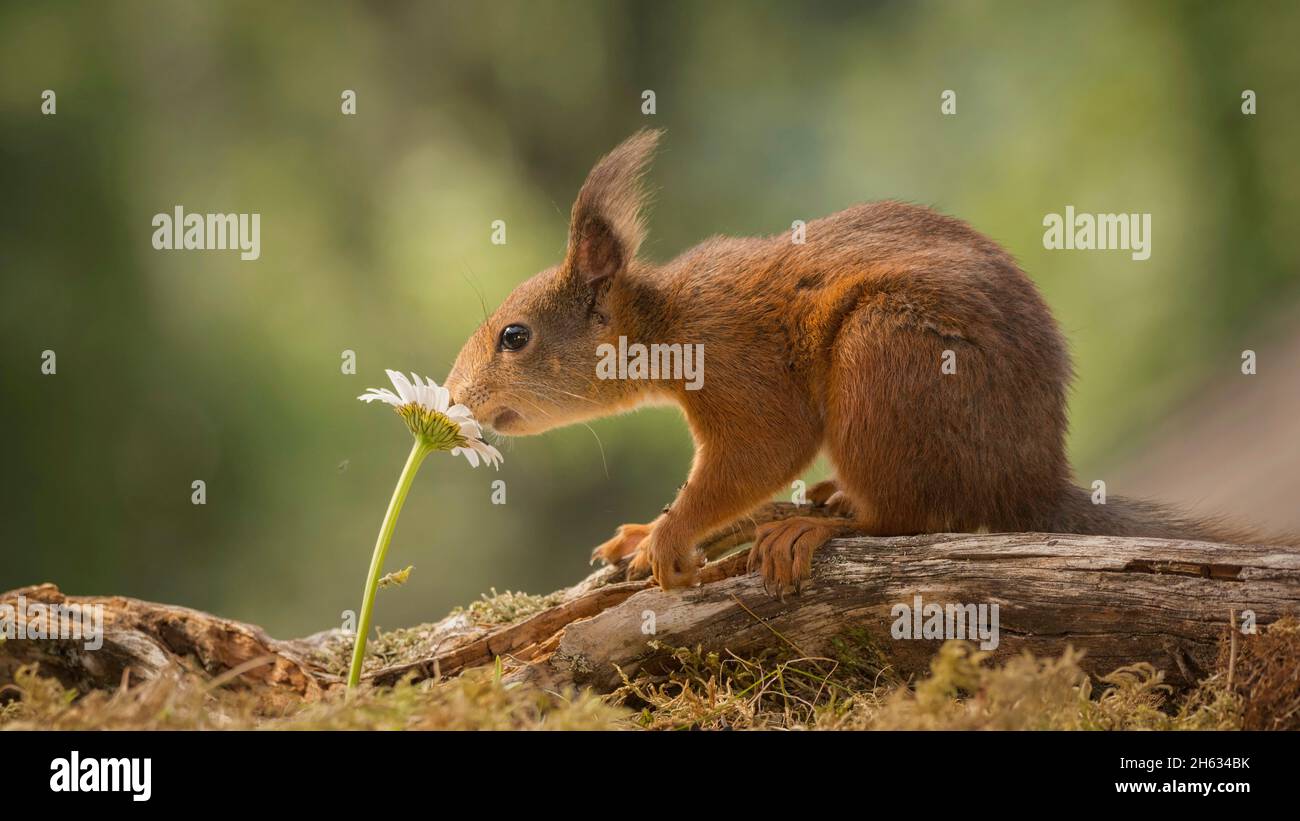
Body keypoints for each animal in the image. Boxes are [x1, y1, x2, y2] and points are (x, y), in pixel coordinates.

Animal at [445, 129, 1272, 593]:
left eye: (514, 336)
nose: (453, 399)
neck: (670, 321)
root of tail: (1031, 483)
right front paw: (641, 532)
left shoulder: (741, 372)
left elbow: (761, 452)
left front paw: (667, 538)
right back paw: (826, 500)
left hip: (886, 359)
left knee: (907, 519)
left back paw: (821, 528)